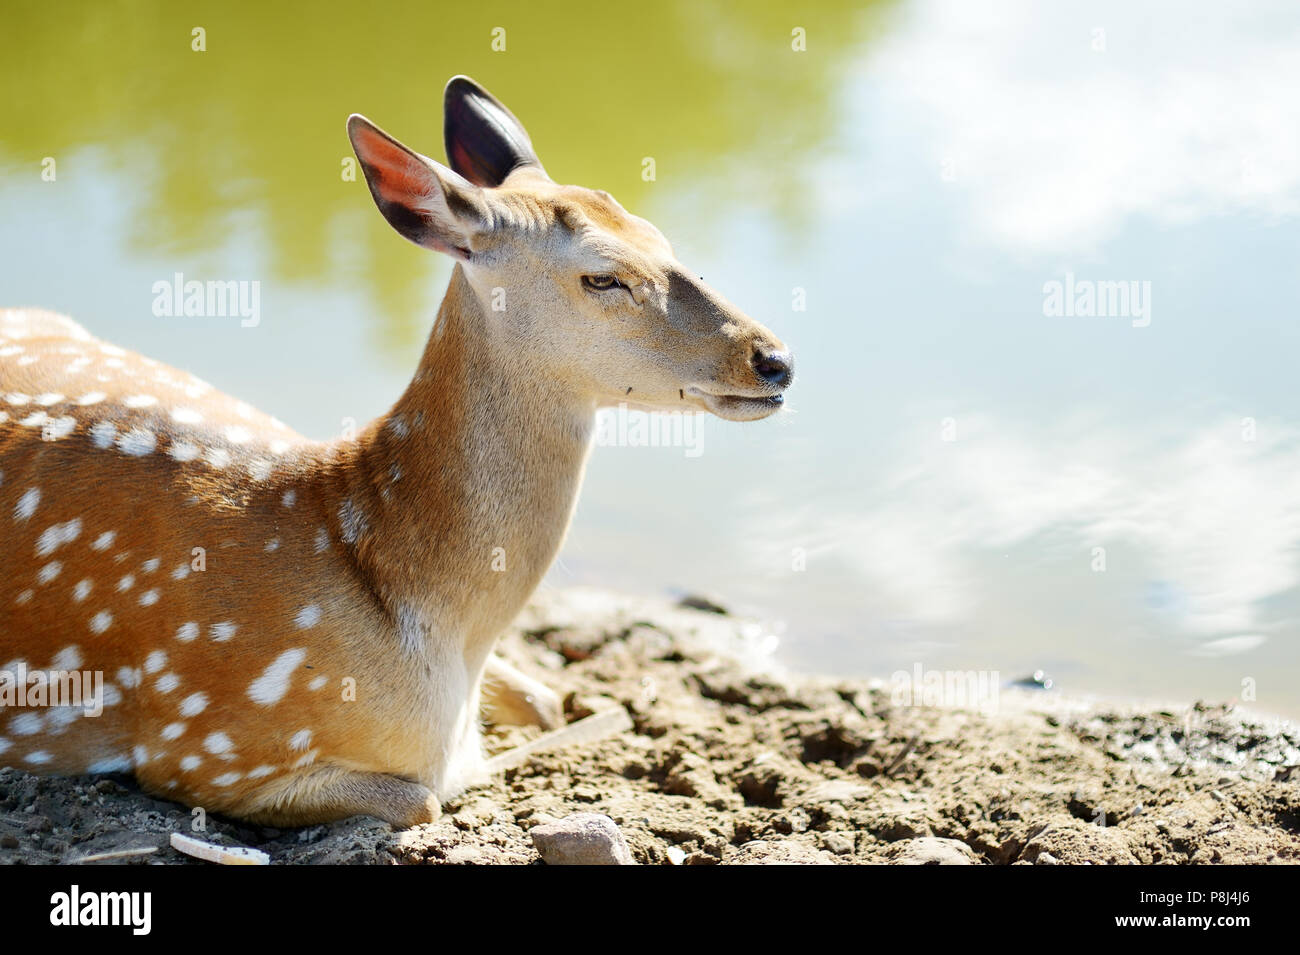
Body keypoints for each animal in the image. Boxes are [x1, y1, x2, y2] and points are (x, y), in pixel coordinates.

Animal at [0, 76, 794, 827]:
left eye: (662, 238)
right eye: (603, 275)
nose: (774, 361)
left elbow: (547, 700)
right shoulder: (206, 748)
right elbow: (422, 799)